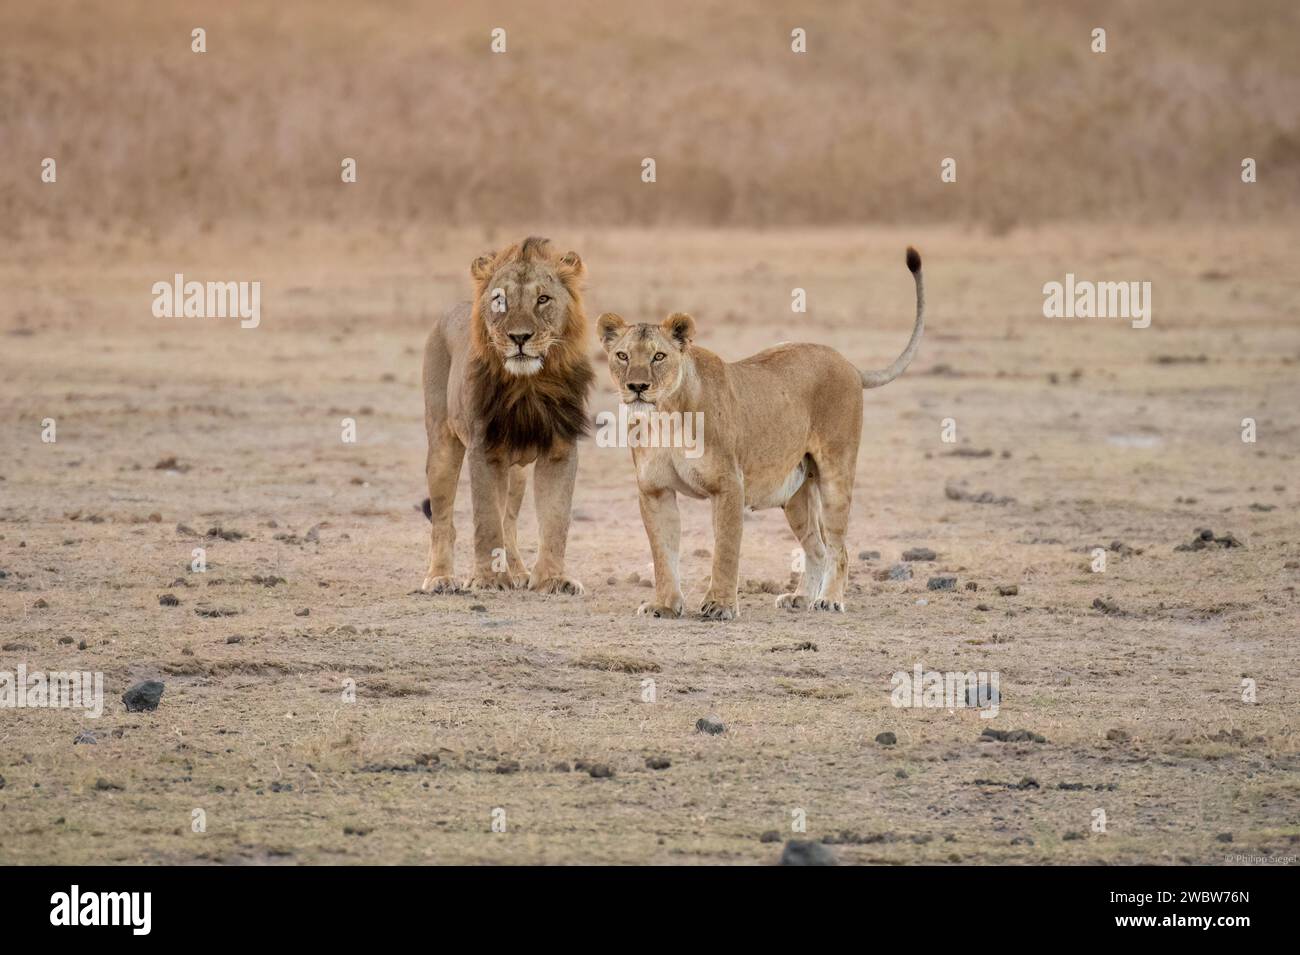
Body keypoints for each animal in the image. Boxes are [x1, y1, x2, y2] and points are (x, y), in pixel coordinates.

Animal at [420, 236, 593, 594]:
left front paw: (553, 579)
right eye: (500, 300)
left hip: (517, 473)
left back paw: (518, 571)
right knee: (444, 521)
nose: (519, 337)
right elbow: (487, 521)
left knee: (510, 521)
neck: (528, 385)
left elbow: (555, 520)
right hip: (443, 446)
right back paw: (441, 577)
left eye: (543, 299)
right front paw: (488, 580)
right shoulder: (484, 449)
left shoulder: (560, 450)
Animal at [596, 247, 925, 619]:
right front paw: (665, 605)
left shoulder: (728, 484)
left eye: (659, 356)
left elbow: (725, 550)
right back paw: (801, 597)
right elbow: (663, 553)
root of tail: (848, 363)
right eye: (622, 356)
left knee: (839, 548)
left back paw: (829, 599)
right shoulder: (655, 490)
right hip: (796, 495)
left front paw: (720, 605)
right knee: (817, 547)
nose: (637, 387)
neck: (664, 418)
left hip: (836, 474)